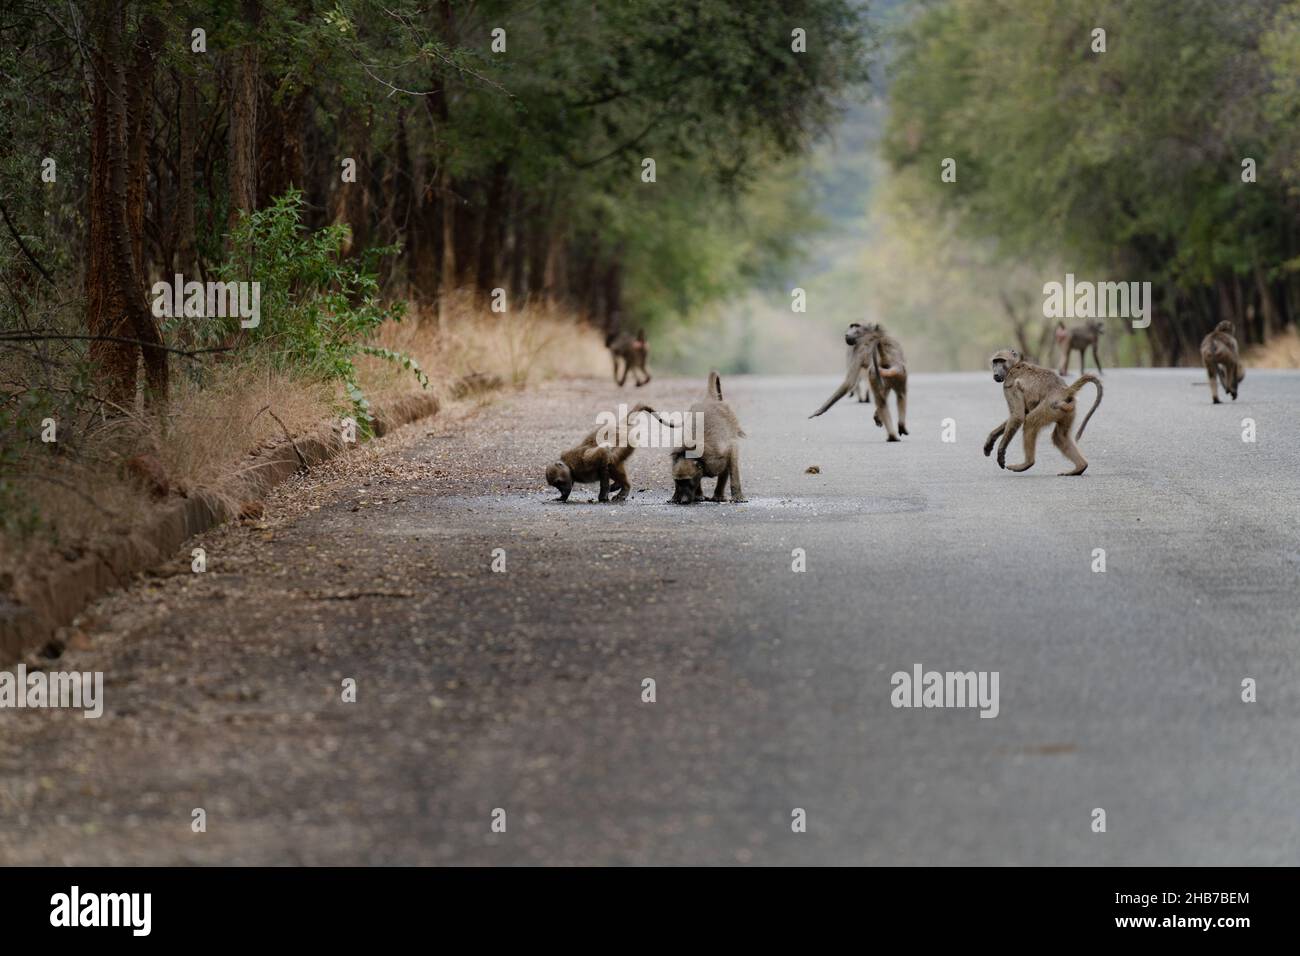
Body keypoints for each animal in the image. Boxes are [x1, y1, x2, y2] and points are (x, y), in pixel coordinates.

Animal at [668, 370, 747, 504]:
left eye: (687, 481)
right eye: (679, 482)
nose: (684, 501)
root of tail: (709, 400)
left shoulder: (715, 460)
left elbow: (731, 454)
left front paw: (735, 496)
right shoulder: (676, 460)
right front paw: (678, 496)